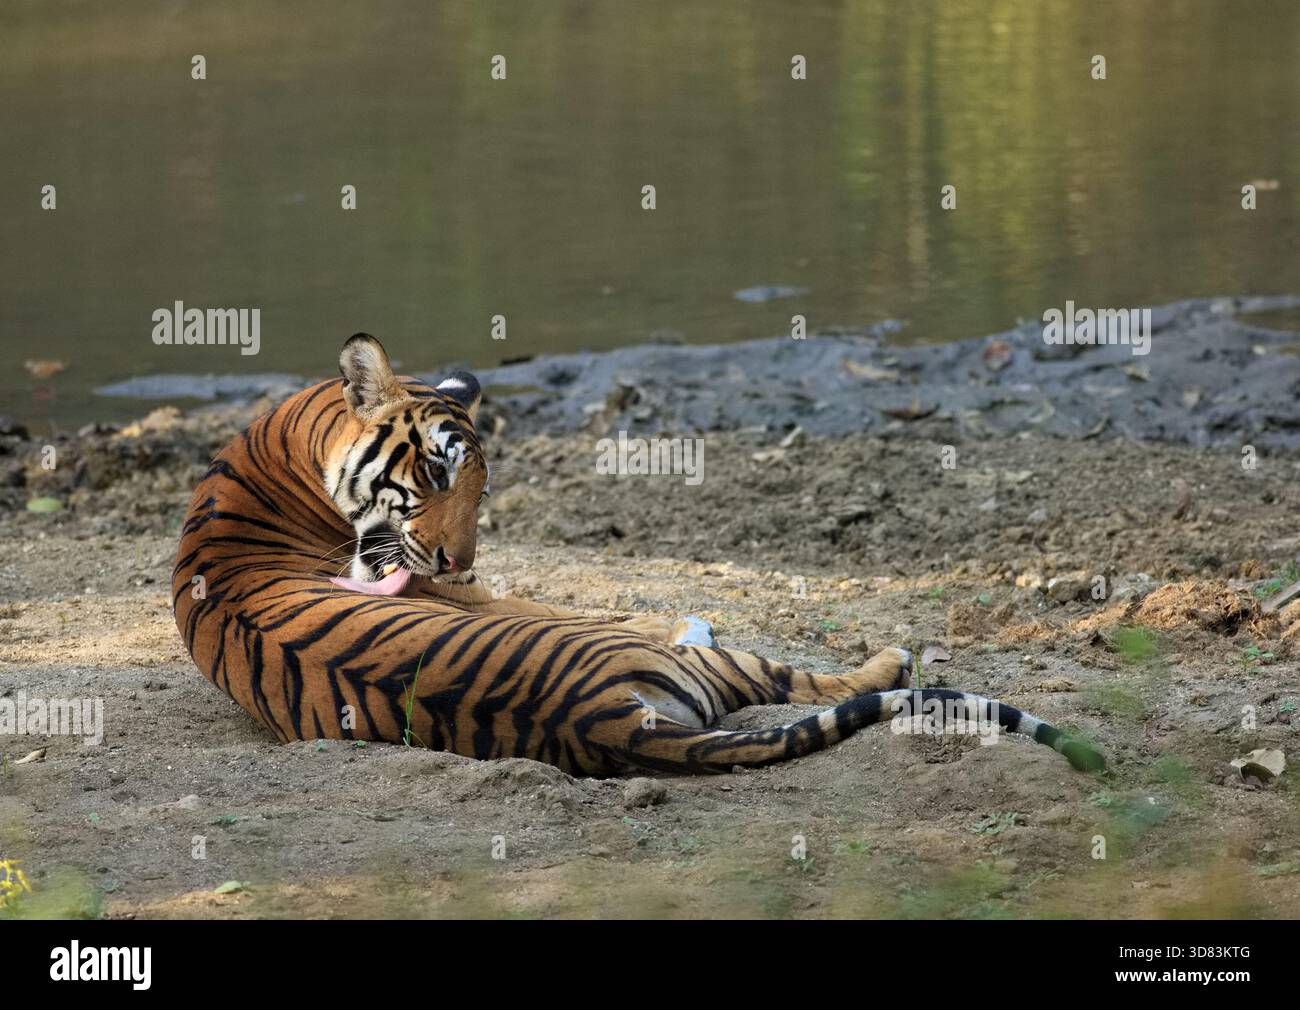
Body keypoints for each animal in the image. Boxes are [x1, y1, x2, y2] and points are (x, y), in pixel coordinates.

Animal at [171, 333, 1104, 775]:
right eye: (433, 473)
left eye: (482, 484)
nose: (459, 563)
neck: (278, 449)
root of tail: (598, 717)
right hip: (719, 668)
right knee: (809, 676)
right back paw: (877, 653)